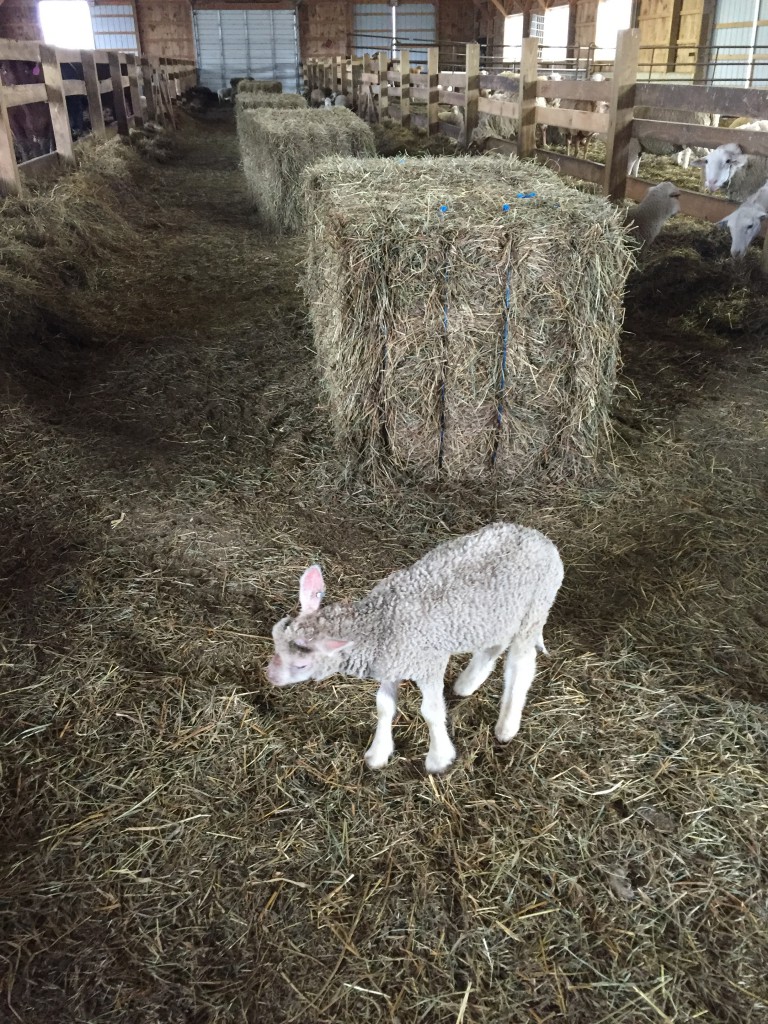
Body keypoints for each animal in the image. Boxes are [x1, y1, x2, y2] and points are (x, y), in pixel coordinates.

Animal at [267, 523, 564, 774]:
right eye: (276, 640)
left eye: (302, 664)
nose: (270, 676)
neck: (379, 626)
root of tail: (537, 535)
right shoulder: (391, 664)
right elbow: (384, 706)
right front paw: (378, 753)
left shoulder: (428, 663)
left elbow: (430, 711)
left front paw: (439, 758)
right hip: (496, 615)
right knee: (493, 645)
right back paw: (467, 684)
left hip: (535, 607)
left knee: (521, 663)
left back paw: (507, 725)